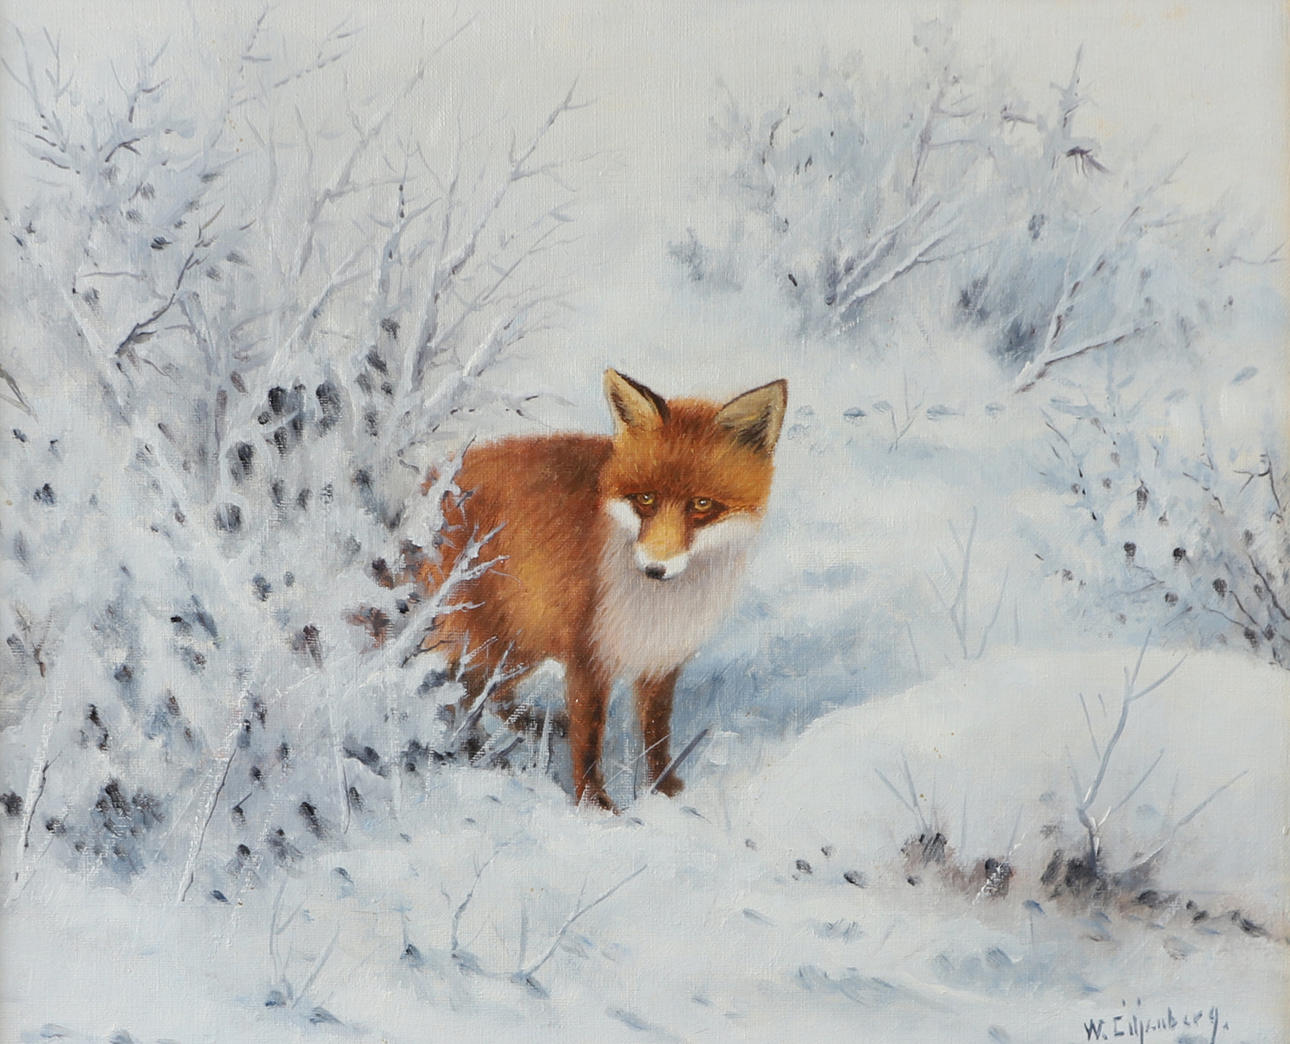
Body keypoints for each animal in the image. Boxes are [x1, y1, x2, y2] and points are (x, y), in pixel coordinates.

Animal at [415, 369, 788, 811]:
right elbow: (589, 741)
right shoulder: (587, 656)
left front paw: (664, 791)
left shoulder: (662, 657)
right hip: (494, 635)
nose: (655, 568)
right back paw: (474, 748)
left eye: (701, 505)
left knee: (491, 693)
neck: (659, 604)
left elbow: (656, 734)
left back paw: (532, 725)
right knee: (465, 694)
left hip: (522, 640)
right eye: (645, 498)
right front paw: (593, 805)